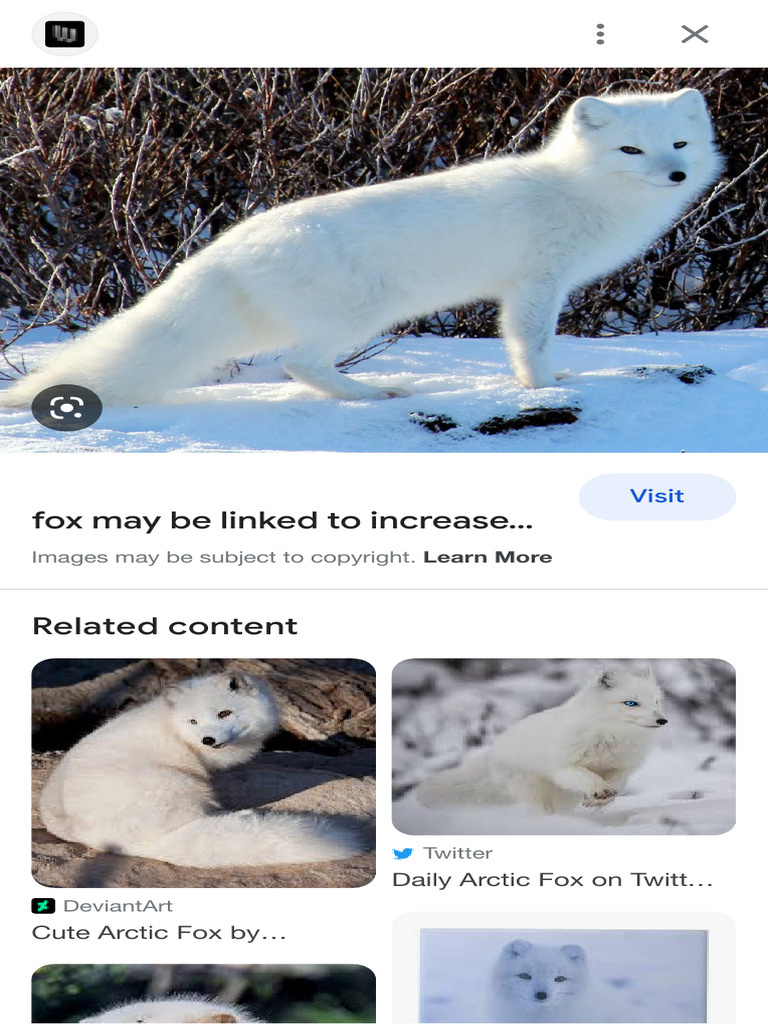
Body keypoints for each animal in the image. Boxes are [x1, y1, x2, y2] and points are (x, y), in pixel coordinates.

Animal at [1, 89, 721, 408]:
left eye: (679, 144)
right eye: (630, 149)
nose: (676, 175)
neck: (581, 189)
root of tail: (225, 246)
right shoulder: (535, 285)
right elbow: (530, 343)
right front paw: (542, 389)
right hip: (362, 314)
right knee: (299, 364)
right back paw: (376, 394)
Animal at [414, 666, 667, 813]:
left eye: (656, 702)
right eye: (631, 703)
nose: (662, 720)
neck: (609, 737)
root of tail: (492, 751)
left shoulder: (621, 767)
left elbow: (618, 783)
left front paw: (599, 800)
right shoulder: (563, 767)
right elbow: (585, 776)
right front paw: (597, 790)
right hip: (534, 790)